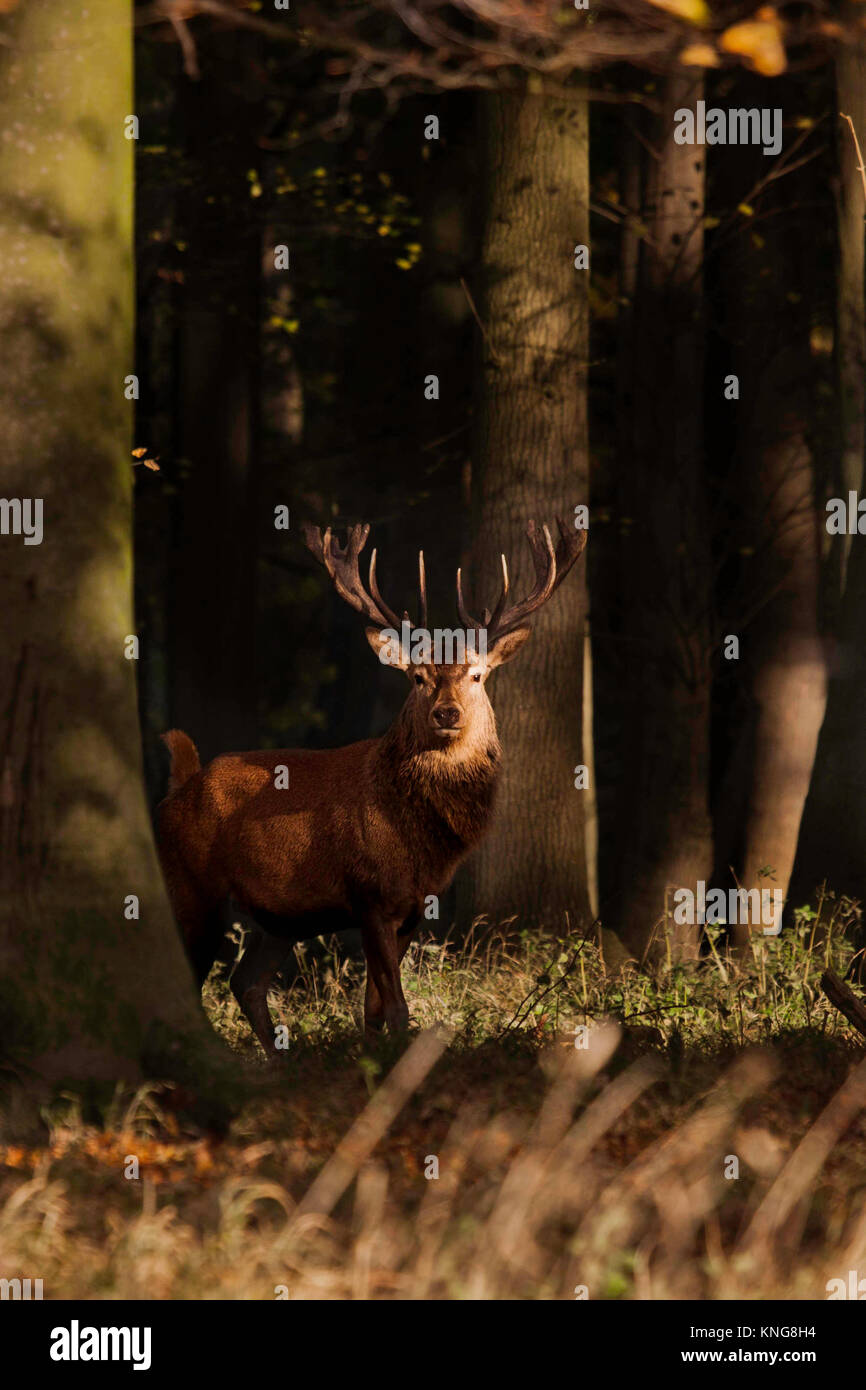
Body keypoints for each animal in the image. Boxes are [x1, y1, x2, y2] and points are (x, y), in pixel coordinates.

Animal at [156, 518, 586, 1058]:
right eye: (418, 677)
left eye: (476, 674)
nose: (447, 713)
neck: (417, 839)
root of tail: (179, 788)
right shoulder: (369, 894)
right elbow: (396, 1007)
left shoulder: (413, 907)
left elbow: (374, 1009)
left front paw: (374, 1054)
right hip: (193, 887)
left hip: (280, 917)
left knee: (246, 981)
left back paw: (279, 1059)